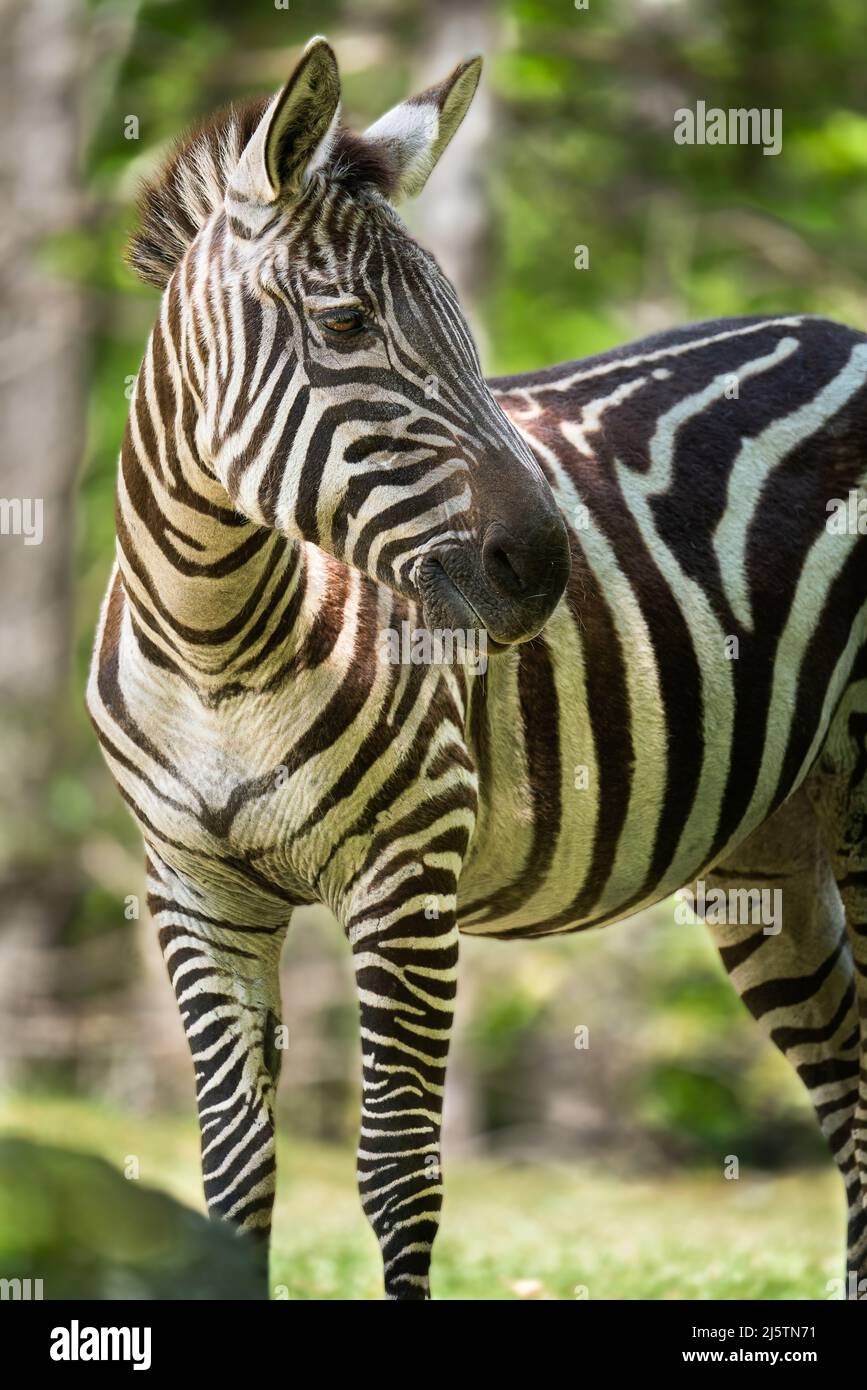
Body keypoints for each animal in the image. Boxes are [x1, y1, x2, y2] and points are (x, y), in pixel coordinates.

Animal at [87, 33, 867, 1300]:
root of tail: (846, 330)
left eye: (462, 331)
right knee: (853, 1089)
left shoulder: (409, 869)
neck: (216, 646)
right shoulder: (196, 888)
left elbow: (399, 1173)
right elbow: (236, 1174)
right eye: (346, 324)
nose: (544, 570)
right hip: (773, 839)